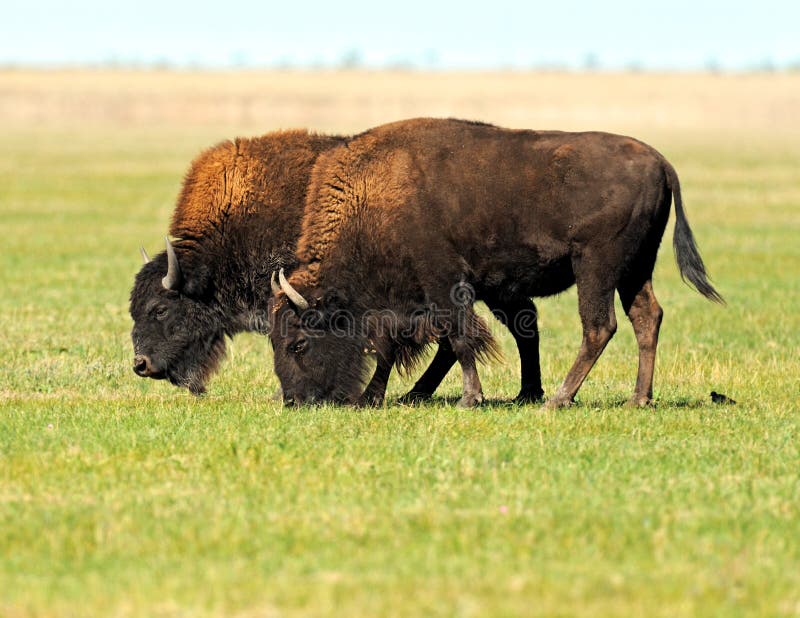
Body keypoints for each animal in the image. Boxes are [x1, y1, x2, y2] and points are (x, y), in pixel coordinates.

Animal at [270, 118, 723, 408]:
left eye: (298, 342)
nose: (294, 400)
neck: (375, 196)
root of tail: (661, 163)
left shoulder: (444, 284)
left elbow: (457, 338)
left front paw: (471, 398)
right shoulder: (481, 291)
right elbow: (403, 346)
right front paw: (379, 396)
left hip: (596, 267)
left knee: (599, 326)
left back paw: (562, 399)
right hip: (635, 270)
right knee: (646, 317)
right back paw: (637, 399)